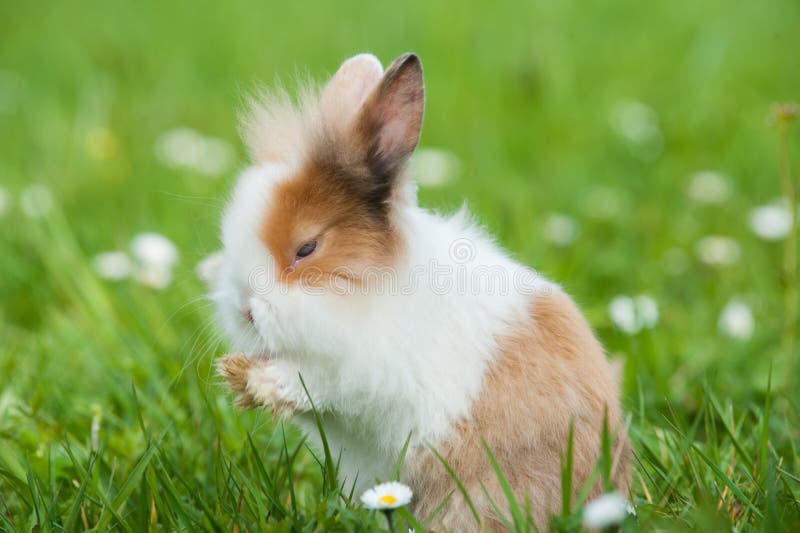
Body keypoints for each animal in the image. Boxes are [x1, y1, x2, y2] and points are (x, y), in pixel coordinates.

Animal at [212, 52, 631, 531]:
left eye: (307, 248)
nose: (245, 310)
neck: (364, 294)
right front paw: (239, 377)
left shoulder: (365, 374)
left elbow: (318, 382)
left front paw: (264, 382)